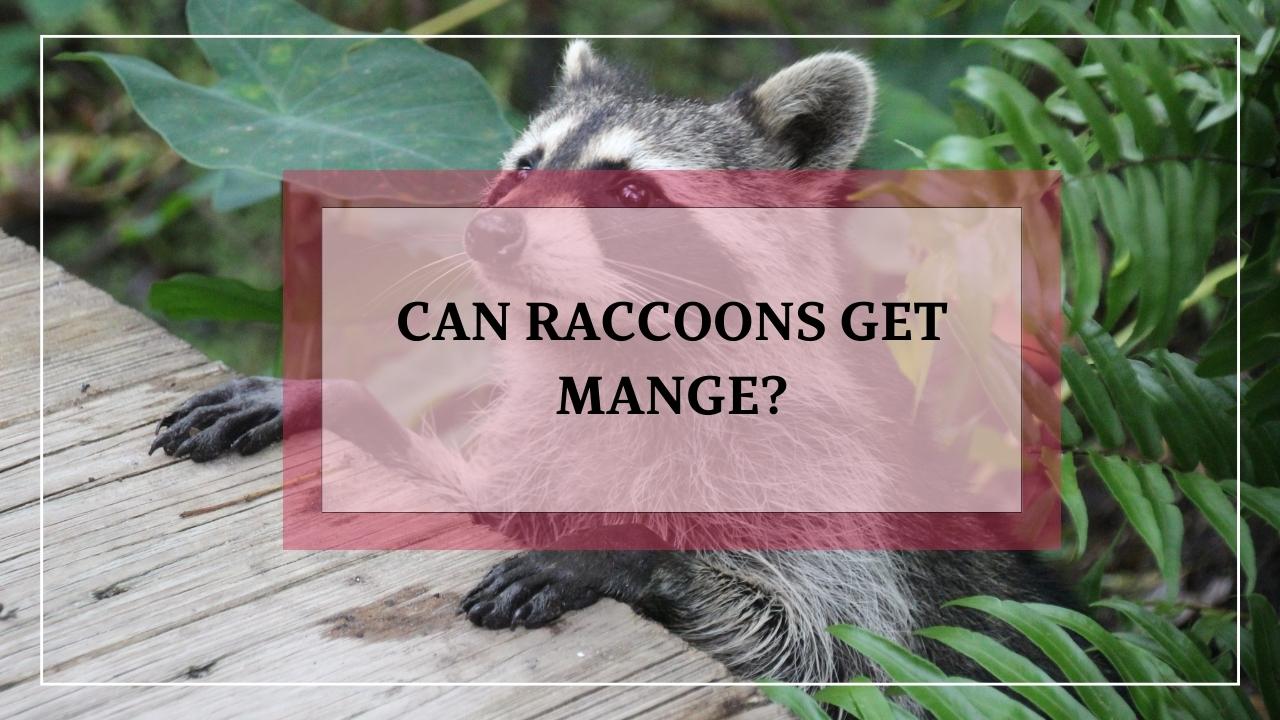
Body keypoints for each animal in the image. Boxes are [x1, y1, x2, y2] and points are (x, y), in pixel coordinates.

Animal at [152, 41, 1074, 690]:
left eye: (629, 193)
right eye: (527, 166)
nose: (489, 233)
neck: (606, 352)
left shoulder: (825, 482)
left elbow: (828, 650)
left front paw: (620, 554)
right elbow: (470, 496)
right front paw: (337, 397)